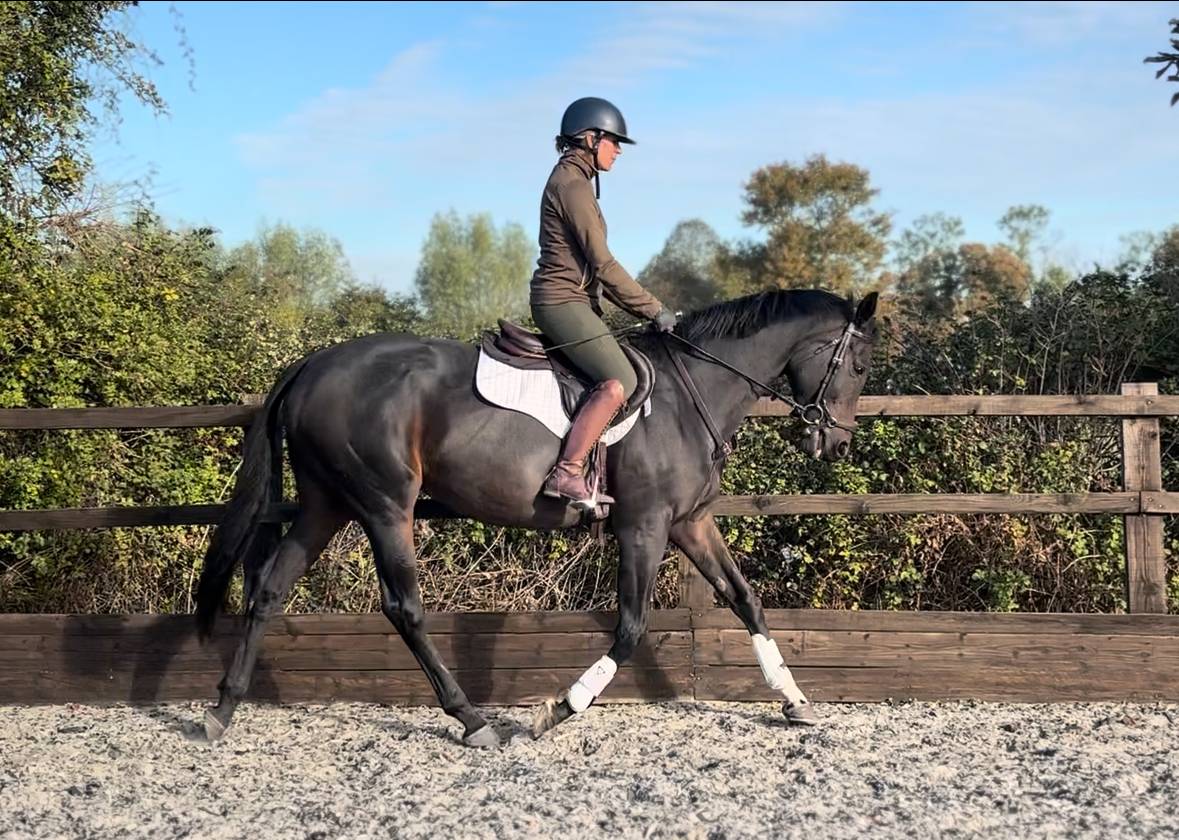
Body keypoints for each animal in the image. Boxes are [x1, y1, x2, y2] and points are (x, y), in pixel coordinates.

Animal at [195, 287, 880, 747]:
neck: (692, 393)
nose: (837, 443)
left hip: (327, 503)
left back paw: (222, 710)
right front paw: (558, 708)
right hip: (385, 505)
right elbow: (630, 628)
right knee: (403, 608)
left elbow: (745, 601)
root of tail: (312, 364)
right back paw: (472, 720)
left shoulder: (690, 522)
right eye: (859, 366)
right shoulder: (645, 526)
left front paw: (794, 701)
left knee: (268, 588)